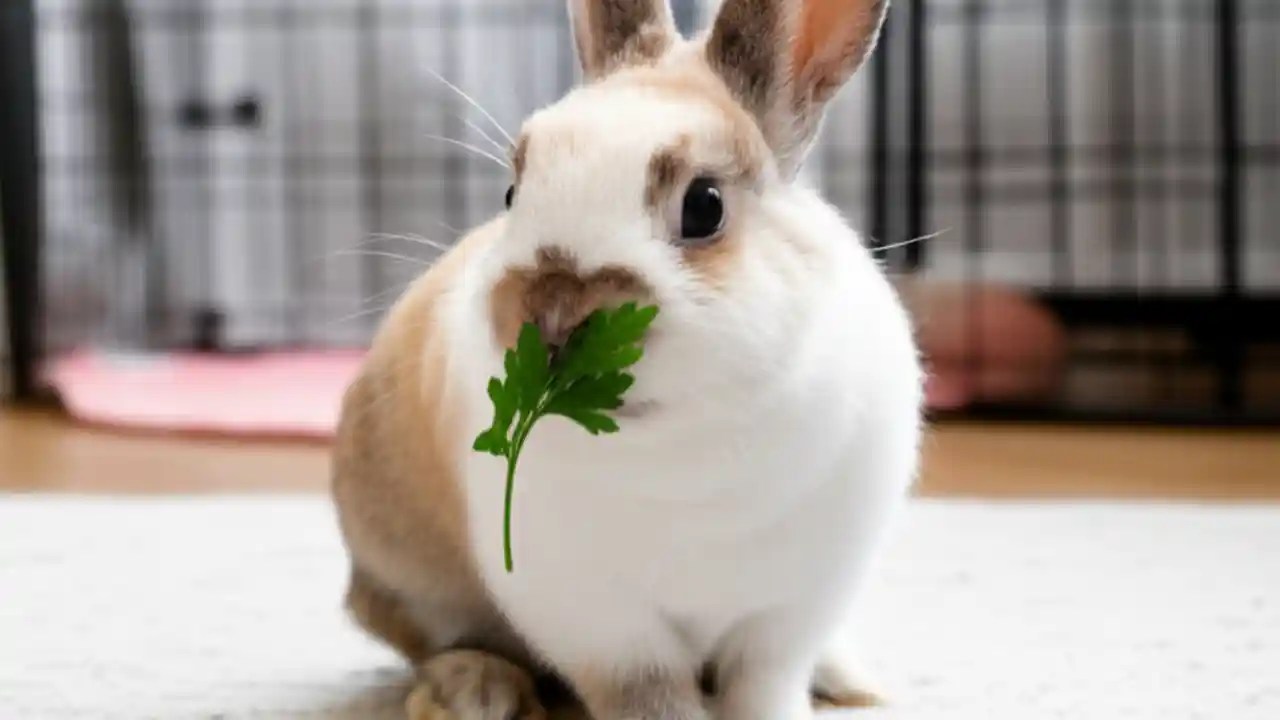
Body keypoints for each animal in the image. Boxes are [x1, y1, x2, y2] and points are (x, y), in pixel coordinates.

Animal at [330, 1, 922, 719]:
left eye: (704, 205)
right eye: (512, 195)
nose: (551, 311)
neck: (686, 436)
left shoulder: (789, 610)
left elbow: (762, 687)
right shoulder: (602, 624)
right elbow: (652, 695)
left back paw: (851, 680)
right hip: (408, 575)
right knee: (421, 634)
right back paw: (477, 690)